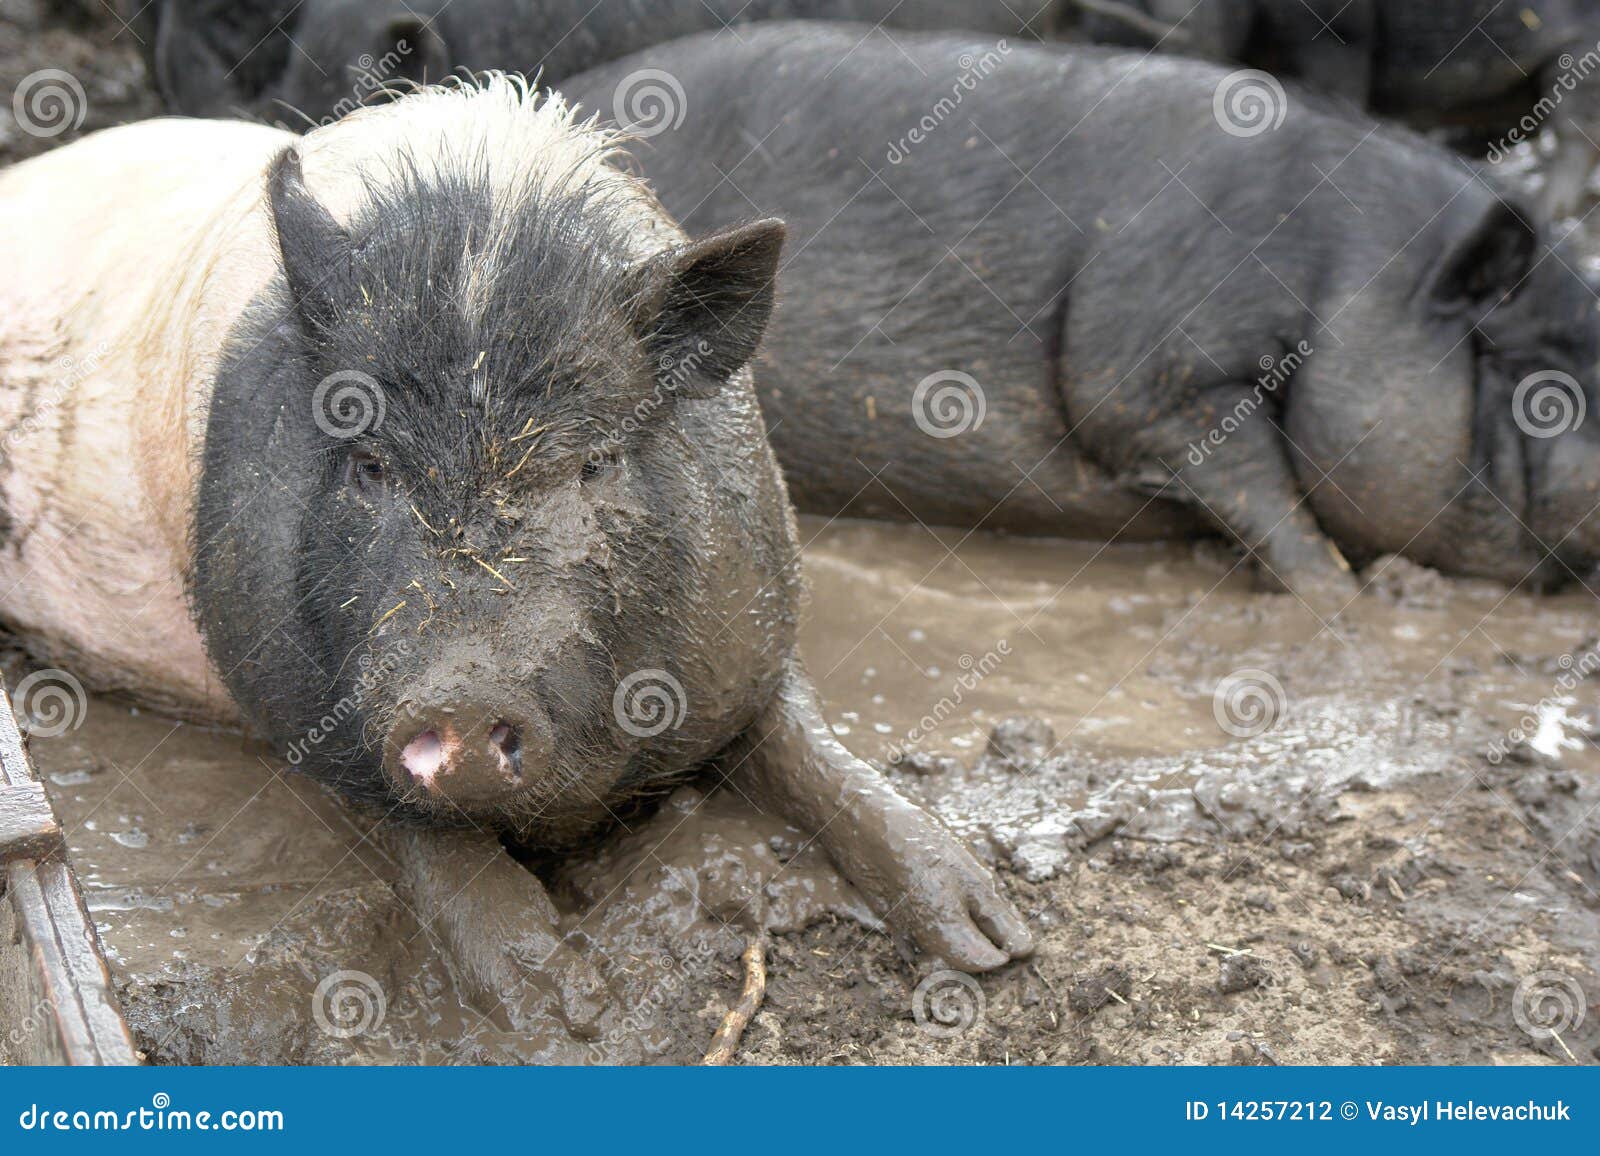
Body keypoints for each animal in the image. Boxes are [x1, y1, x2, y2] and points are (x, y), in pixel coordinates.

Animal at [0, 75, 1031, 1059]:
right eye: (369, 465)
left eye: (597, 461)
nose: (458, 702)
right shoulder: (289, 692)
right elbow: (421, 834)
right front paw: (566, 1016)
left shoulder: (753, 628)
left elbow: (812, 749)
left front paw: (997, 942)